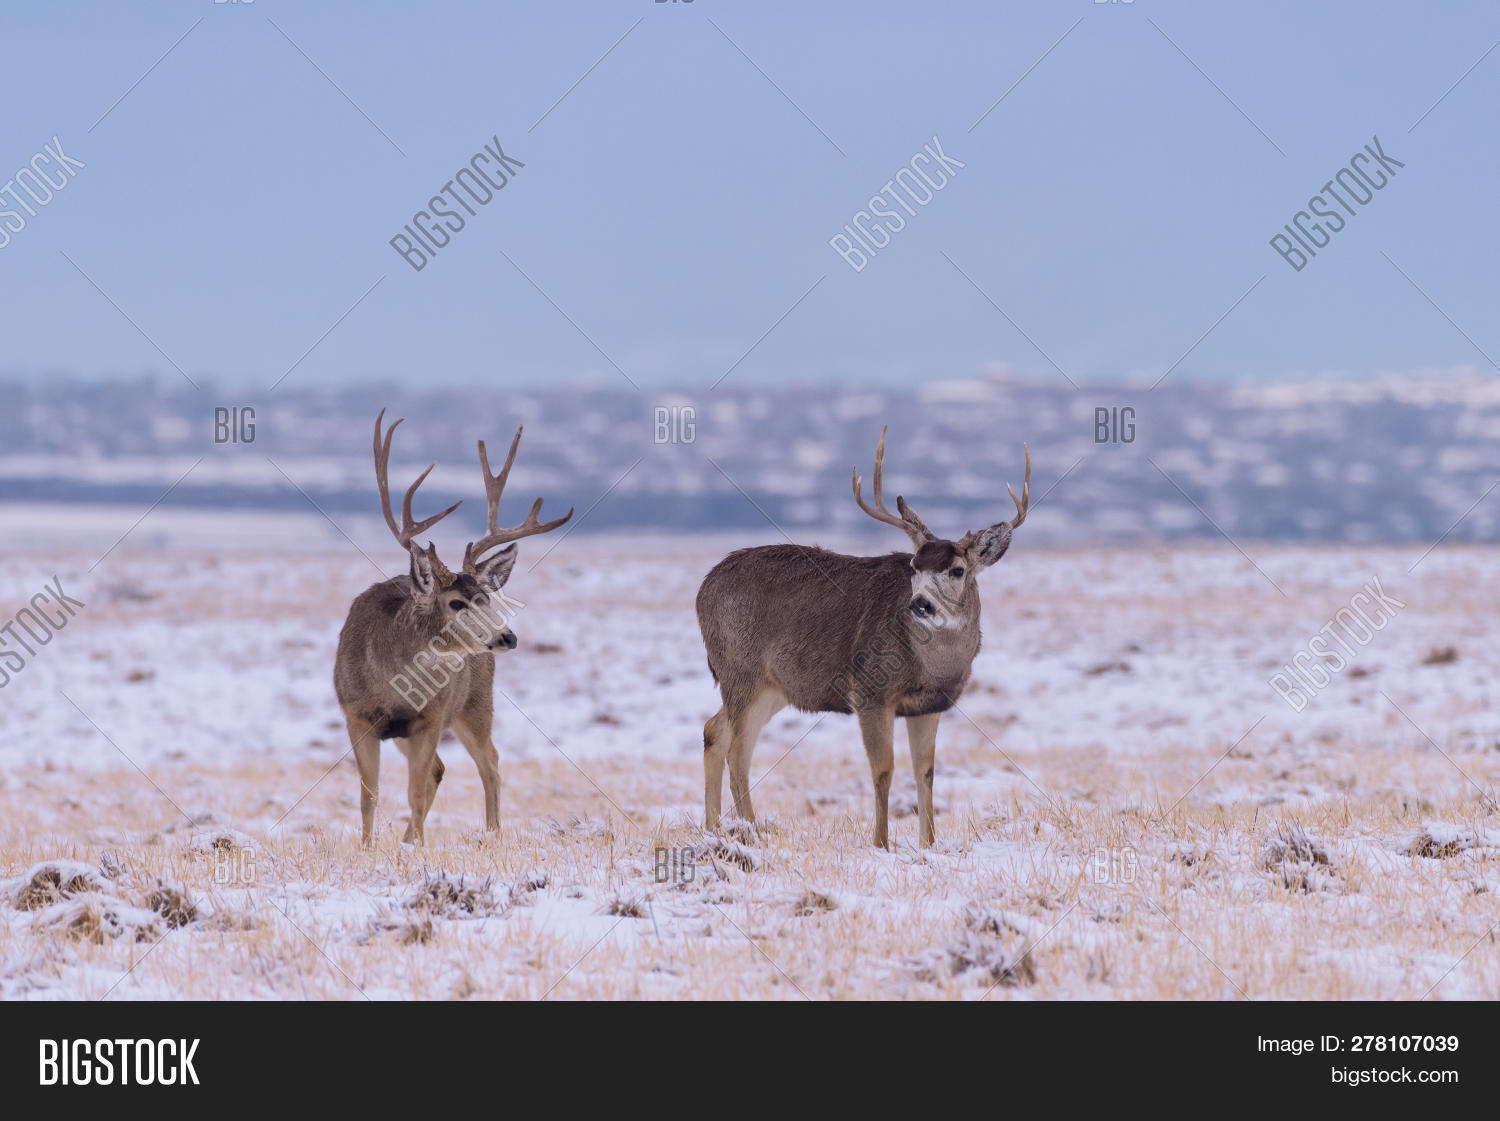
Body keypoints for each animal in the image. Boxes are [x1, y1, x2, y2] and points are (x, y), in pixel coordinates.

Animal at [334, 410, 572, 846]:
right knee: (441, 770)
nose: (507, 636)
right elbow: (368, 795)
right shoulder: (357, 717)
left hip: (475, 704)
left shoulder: (430, 718)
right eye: (456, 602)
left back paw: (491, 835)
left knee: (488, 763)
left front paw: (417, 850)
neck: (391, 685)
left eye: (488, 598)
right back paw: (410, 837)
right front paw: (369, 849)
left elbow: (413, 790)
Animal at [696, 427, 1029, 849]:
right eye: (914, 566)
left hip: (772, 687)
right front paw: (881, 843)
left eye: (957, 569)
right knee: (737, 753)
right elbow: (883, 769)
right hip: (743, 672)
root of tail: (702, 591)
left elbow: (925, 771)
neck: (931, 664)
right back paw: (750, 834)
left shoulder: (928, 705)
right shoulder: (869, 690)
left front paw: (929, 844)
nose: (920, 604)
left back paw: (713, 831)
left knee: (713, 731)